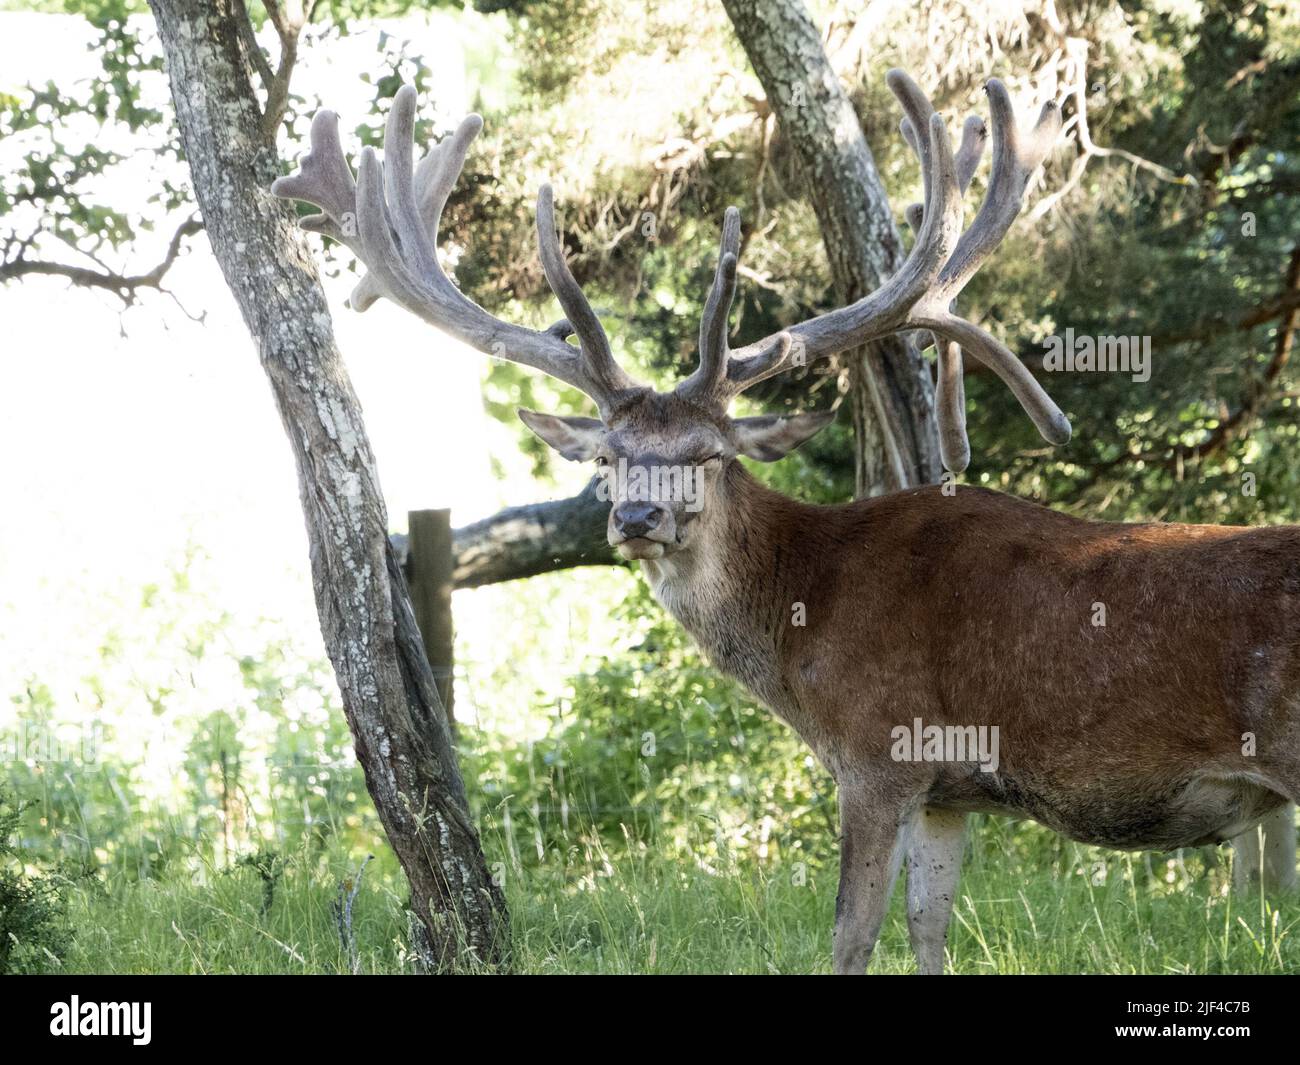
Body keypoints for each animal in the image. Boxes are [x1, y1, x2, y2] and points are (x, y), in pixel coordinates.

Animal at [273, 71, 1300, 974]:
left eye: (707, 453)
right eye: (606, 455)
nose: (638, 515)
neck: (805, 617)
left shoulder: (879, 751)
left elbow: (850, 935)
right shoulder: (948, 792)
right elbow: (930, 933)